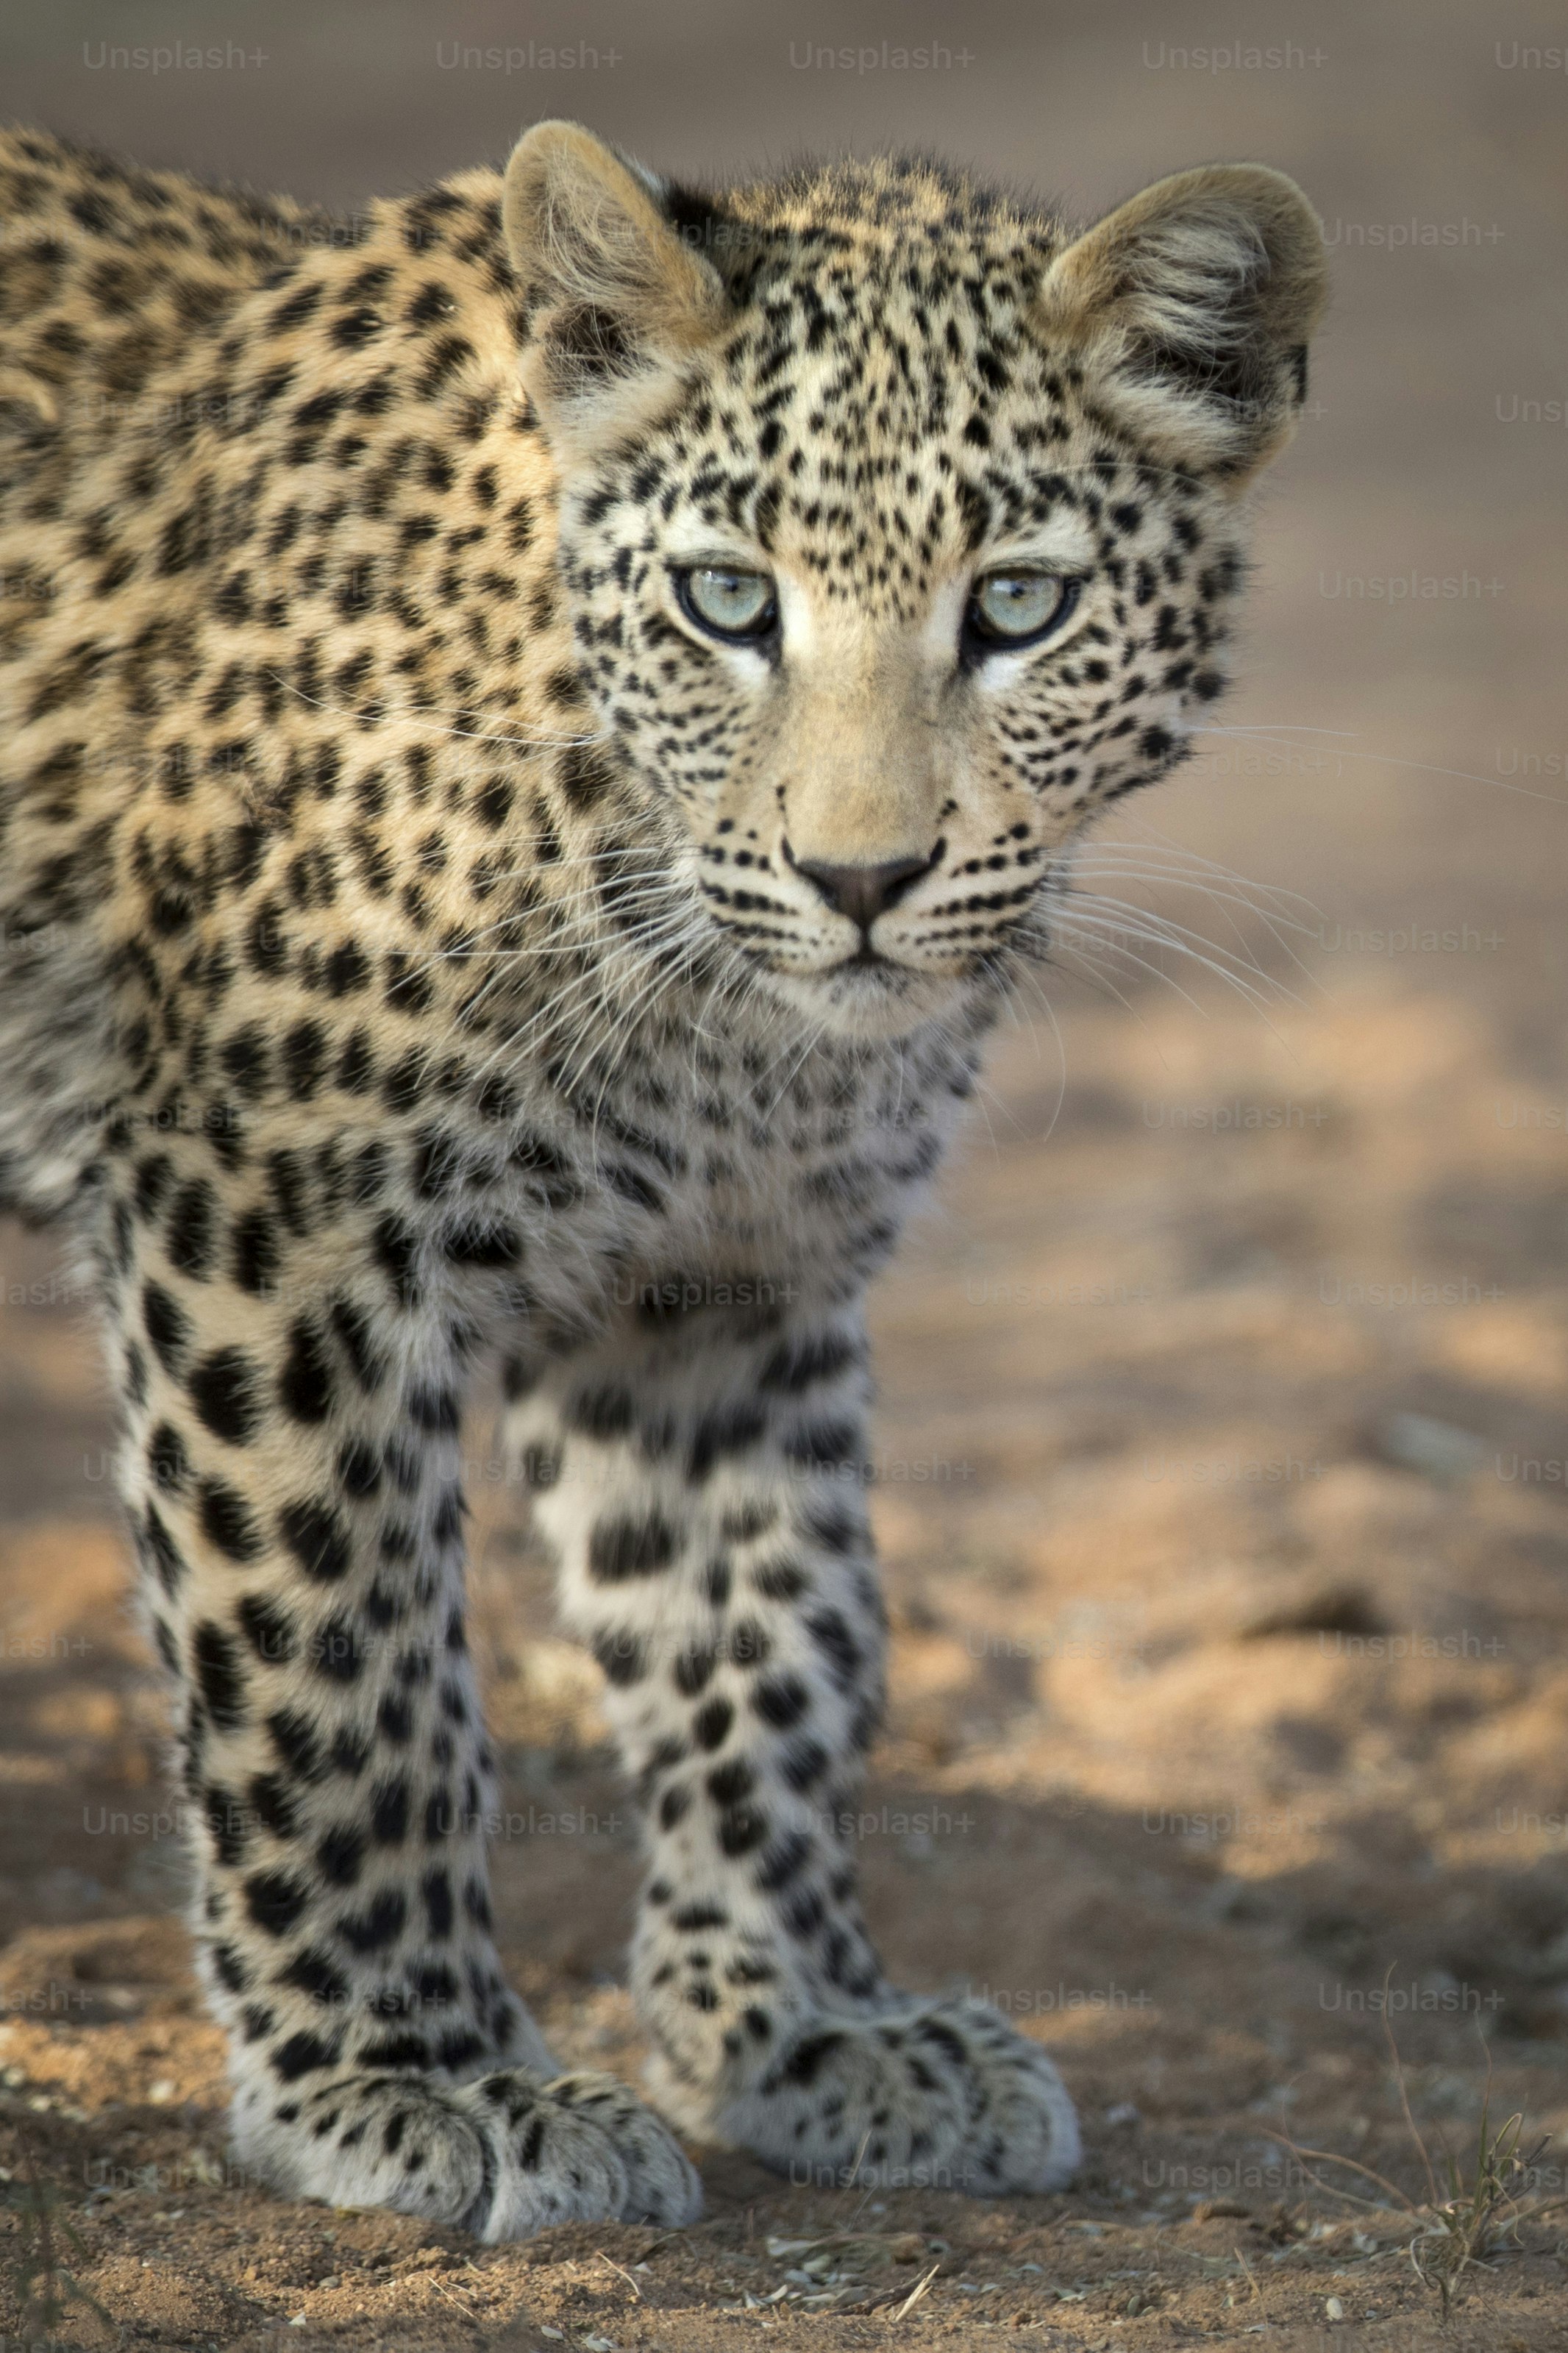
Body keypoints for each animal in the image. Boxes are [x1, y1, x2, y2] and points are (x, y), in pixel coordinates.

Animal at [0, 116, 1326, 2240]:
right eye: (723, 599)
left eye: (1013, 610)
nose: (858, 879)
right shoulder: (273, 1229)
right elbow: (342, 1664)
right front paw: (412, 2071)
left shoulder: (716, 1284)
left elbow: (774, 1638)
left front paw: (802, 2023)